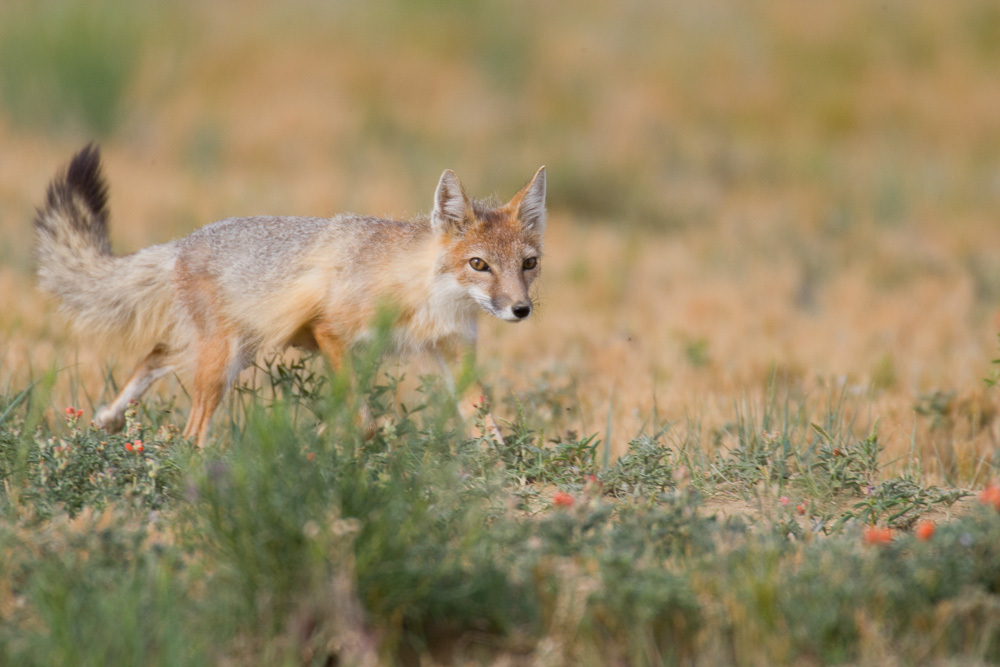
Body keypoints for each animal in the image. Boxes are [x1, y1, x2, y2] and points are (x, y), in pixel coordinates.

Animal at [34, 145, 545, 447]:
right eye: (478, 265)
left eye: (528, 264)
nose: (520, 310)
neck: (425, 296)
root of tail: (182, 243)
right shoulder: (331, 333)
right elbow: (362, 416)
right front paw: (331, 438)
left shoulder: (453, 352)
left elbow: (487, 427)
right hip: (222, 363)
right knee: (191, 430)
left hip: (232, 352)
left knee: (154, 356)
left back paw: (108, 419)